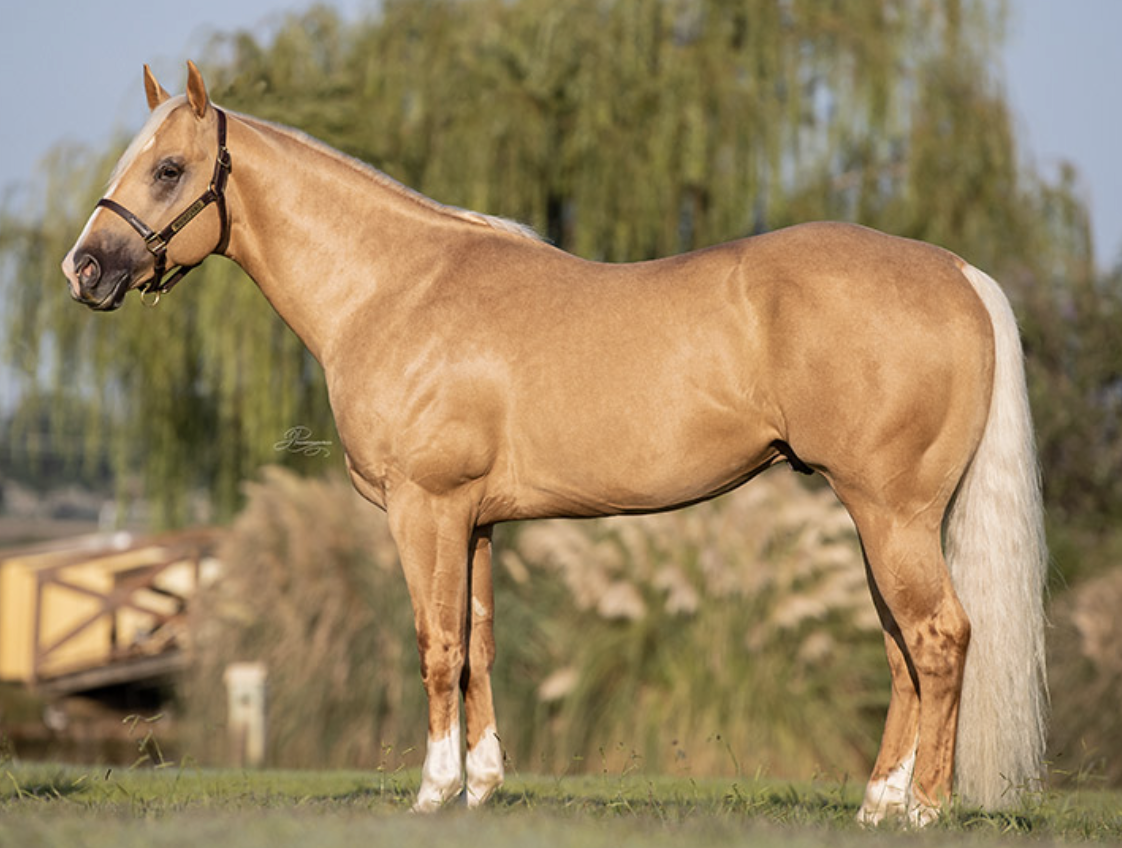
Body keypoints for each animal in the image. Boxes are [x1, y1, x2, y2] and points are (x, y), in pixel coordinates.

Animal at [62, 62, 1047, 824]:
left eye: (170, 169)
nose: (84, 269)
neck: (398, 288)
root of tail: (958, 271)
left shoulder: (425, 509)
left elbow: (437, 643)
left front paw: (432, 793)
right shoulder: (475, 521)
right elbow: (482, 643)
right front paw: (483, 788)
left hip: (892, 513)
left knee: (939, 638)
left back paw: (925, 811)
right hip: (883, 519)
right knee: (900, 648)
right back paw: (878, 804)